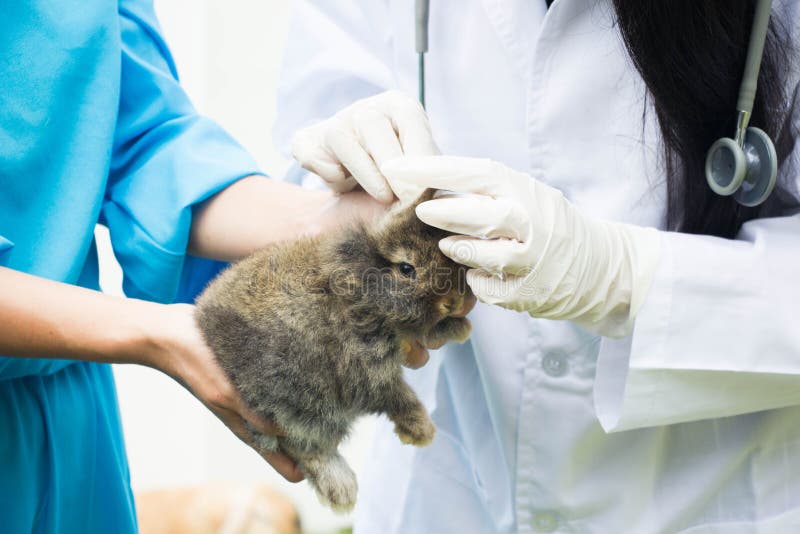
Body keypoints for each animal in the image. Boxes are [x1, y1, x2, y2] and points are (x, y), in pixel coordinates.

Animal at [194, 190, 475, 512]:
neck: (358, 282)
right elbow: (399, 398)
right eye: (407, 268)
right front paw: (421, 432)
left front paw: (459, 327)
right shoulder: (368, 369)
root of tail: (203, 322)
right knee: (303, 445)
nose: (452, 302)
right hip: (300, 405)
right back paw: (341, 491)